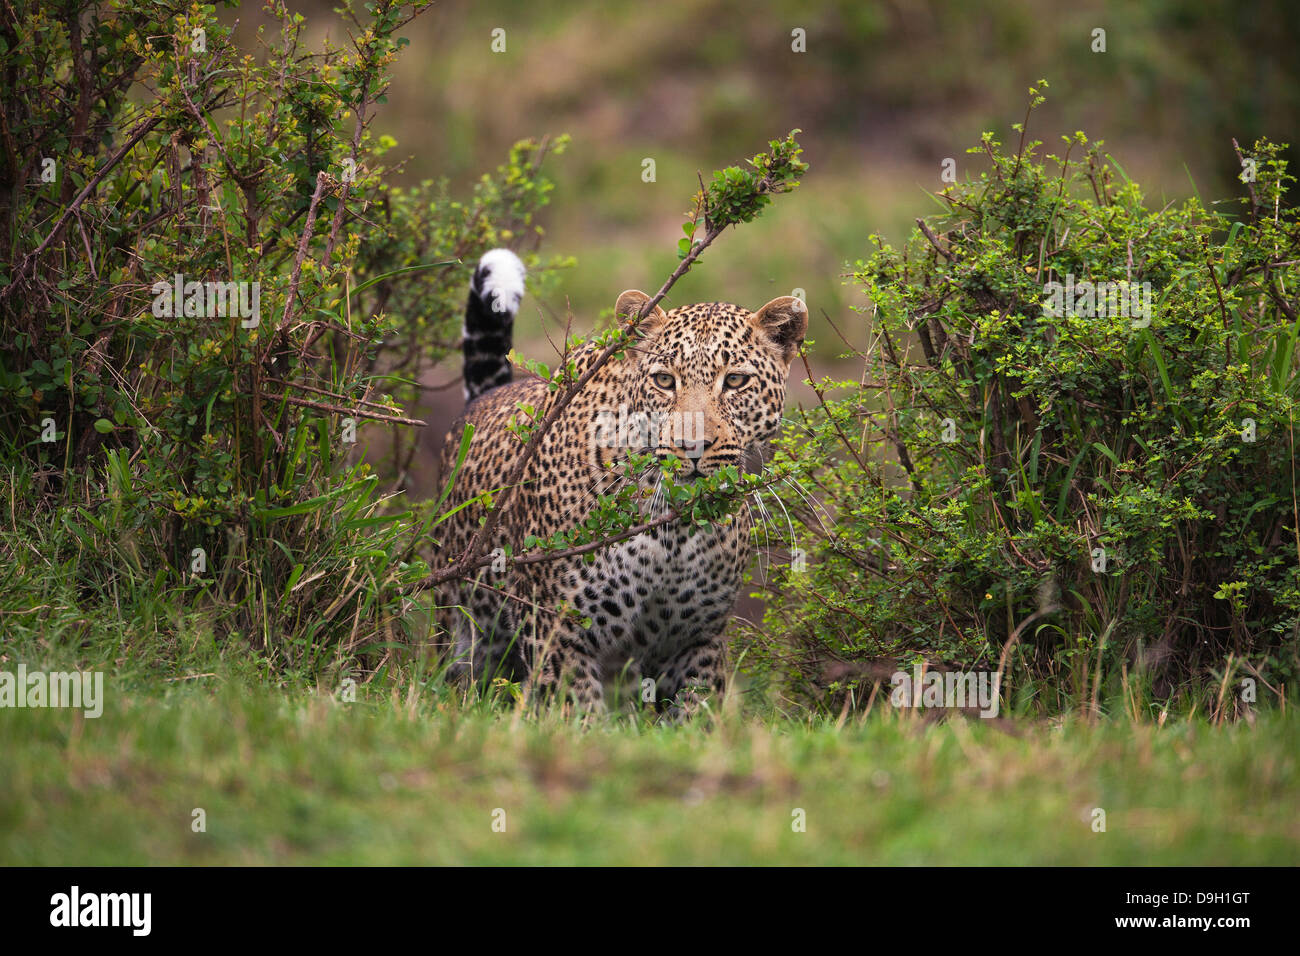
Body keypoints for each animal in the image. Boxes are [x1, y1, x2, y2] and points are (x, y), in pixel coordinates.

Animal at [434, 248, 806, 718]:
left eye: (736, 381)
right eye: (665, 380)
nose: (692, 446)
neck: (674, 531)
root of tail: (483, 399)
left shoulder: (695, 638)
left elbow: (695, 713)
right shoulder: (557, 630)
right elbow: (577, 715)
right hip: (461, 627)